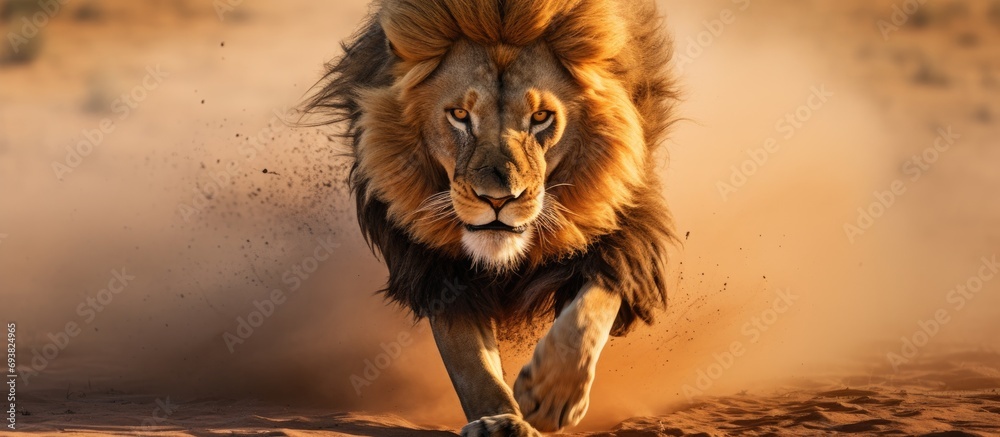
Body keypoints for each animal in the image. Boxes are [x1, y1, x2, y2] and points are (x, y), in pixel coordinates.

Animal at [303, 0, 677, 435]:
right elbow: (472, 364)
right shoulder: (439, 271)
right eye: (459, 114)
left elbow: (589, 311)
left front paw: (550, 396)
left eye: (541, 117)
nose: (498, 199)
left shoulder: (622, 240)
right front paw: (500, 420)